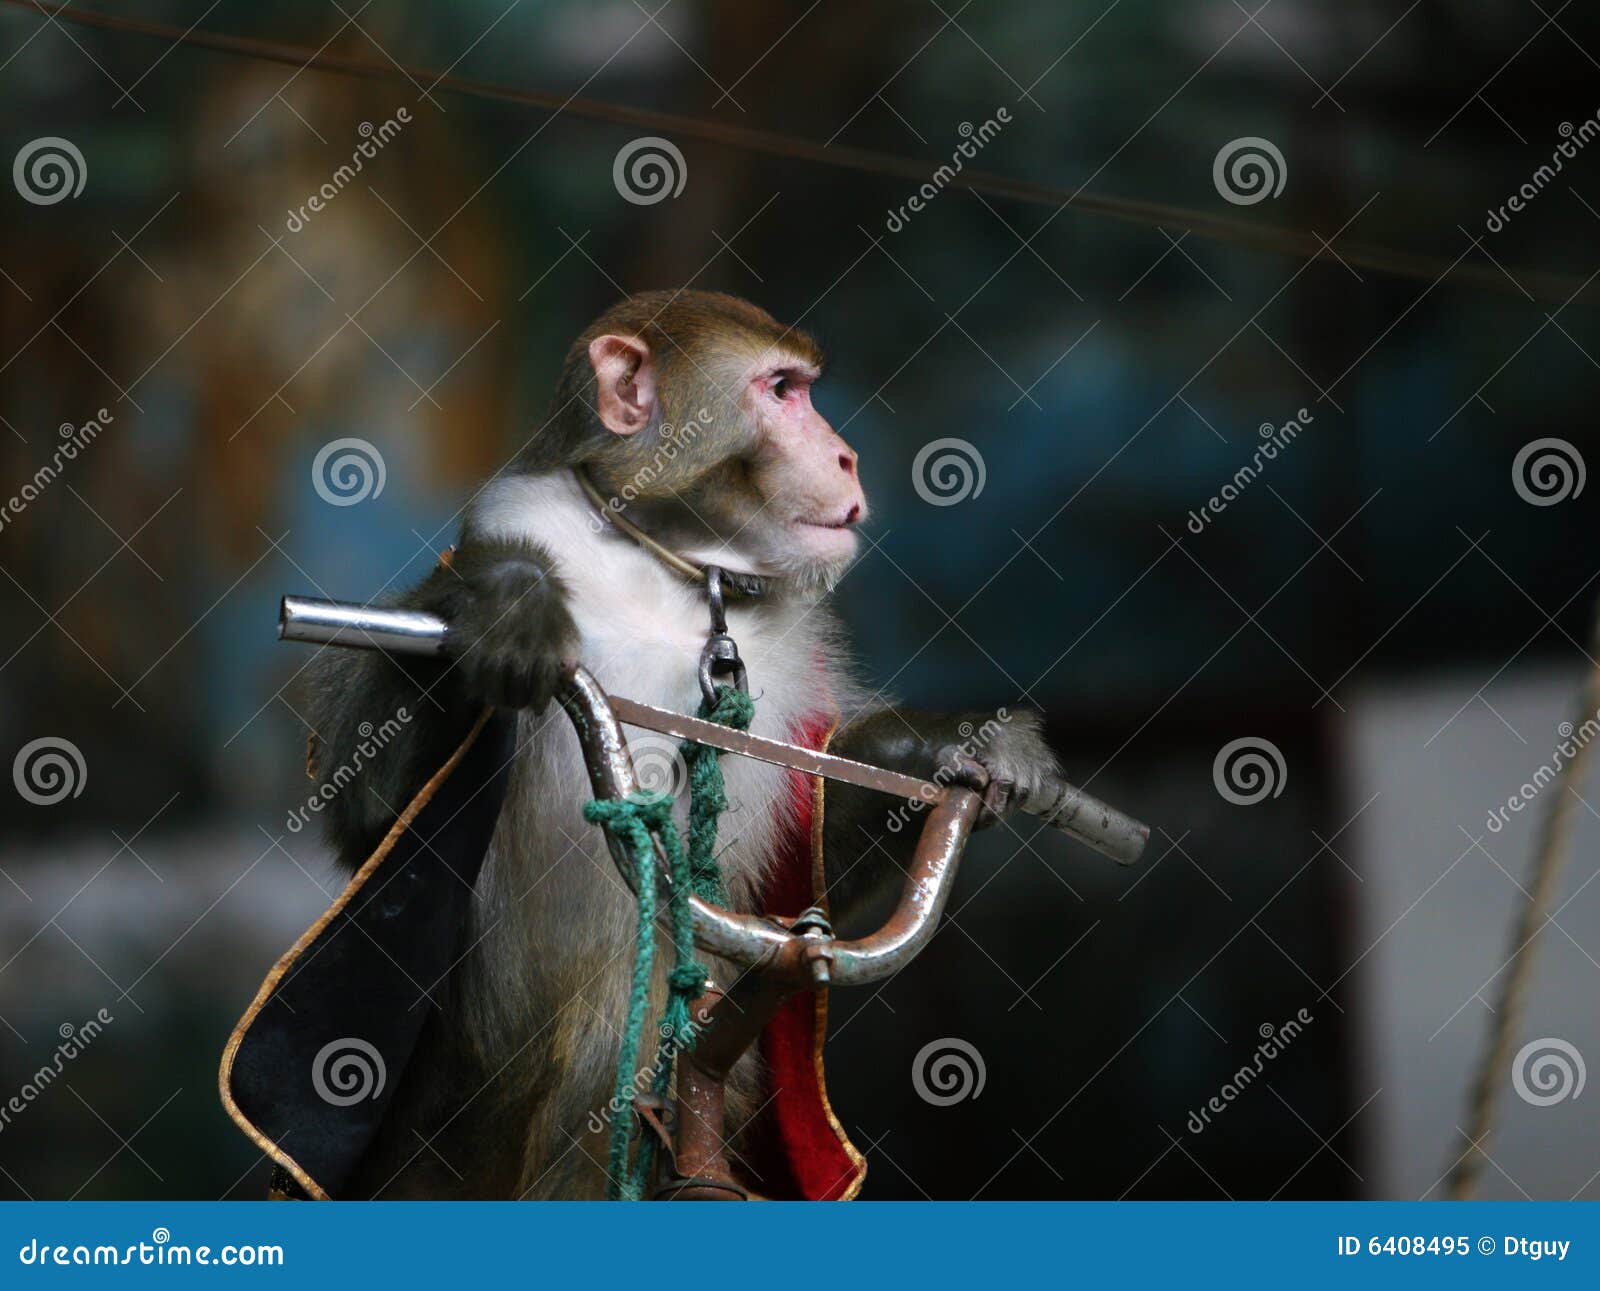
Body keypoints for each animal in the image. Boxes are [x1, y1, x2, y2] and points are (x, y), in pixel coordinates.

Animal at [295, 290, 1060, 1199]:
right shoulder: (508, 527)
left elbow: (809, 856)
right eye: (782, 390)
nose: (846, 456)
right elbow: (366, 805)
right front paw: (509, 600)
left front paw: (946, 750)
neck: (669, 573)